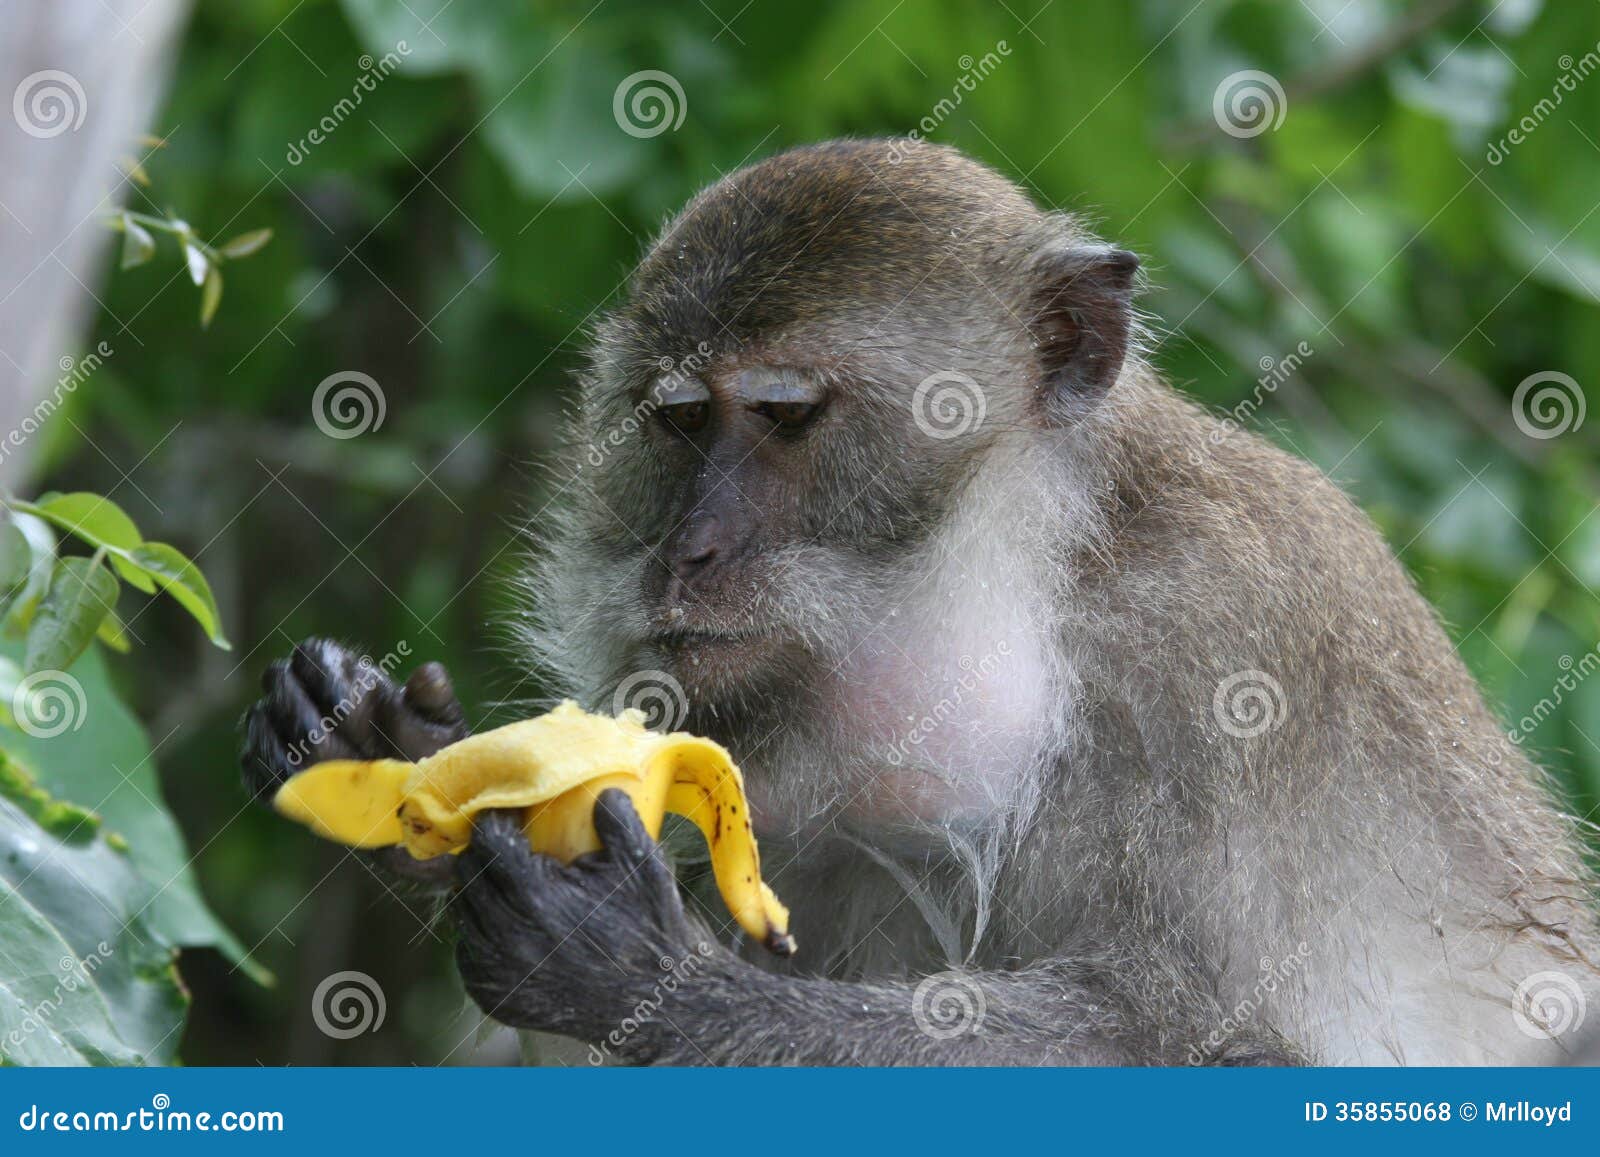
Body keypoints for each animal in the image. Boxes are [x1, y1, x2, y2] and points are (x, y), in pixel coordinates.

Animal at [242, 139, 1599, 1066]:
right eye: (677, 422)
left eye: (786, 415)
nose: (687, 551)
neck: (1045, 591)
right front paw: (386, 743)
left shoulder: (1218, 650)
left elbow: (1188, 1038)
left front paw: (644, 972)